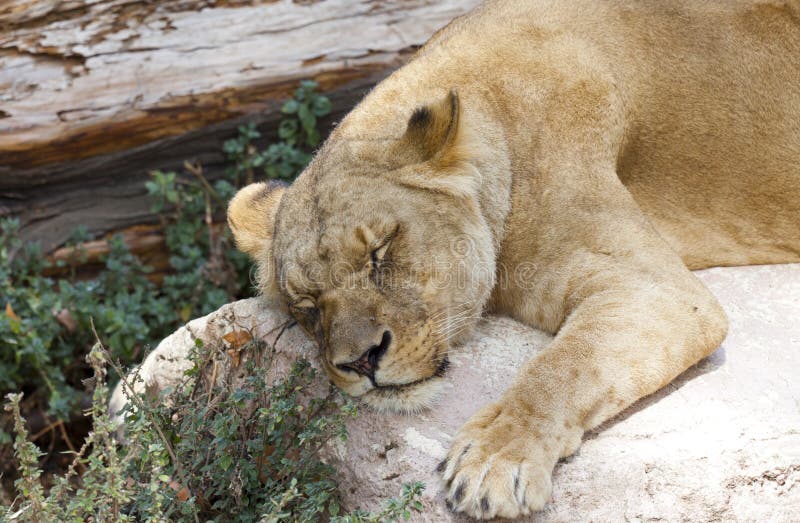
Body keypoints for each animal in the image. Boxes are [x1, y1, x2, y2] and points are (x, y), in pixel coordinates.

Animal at [227, 0, 800, 519]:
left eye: (380, 251)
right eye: (306, 305)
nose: (361, 361)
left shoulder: (659, 292)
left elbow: (561, 367)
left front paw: (495, 460)